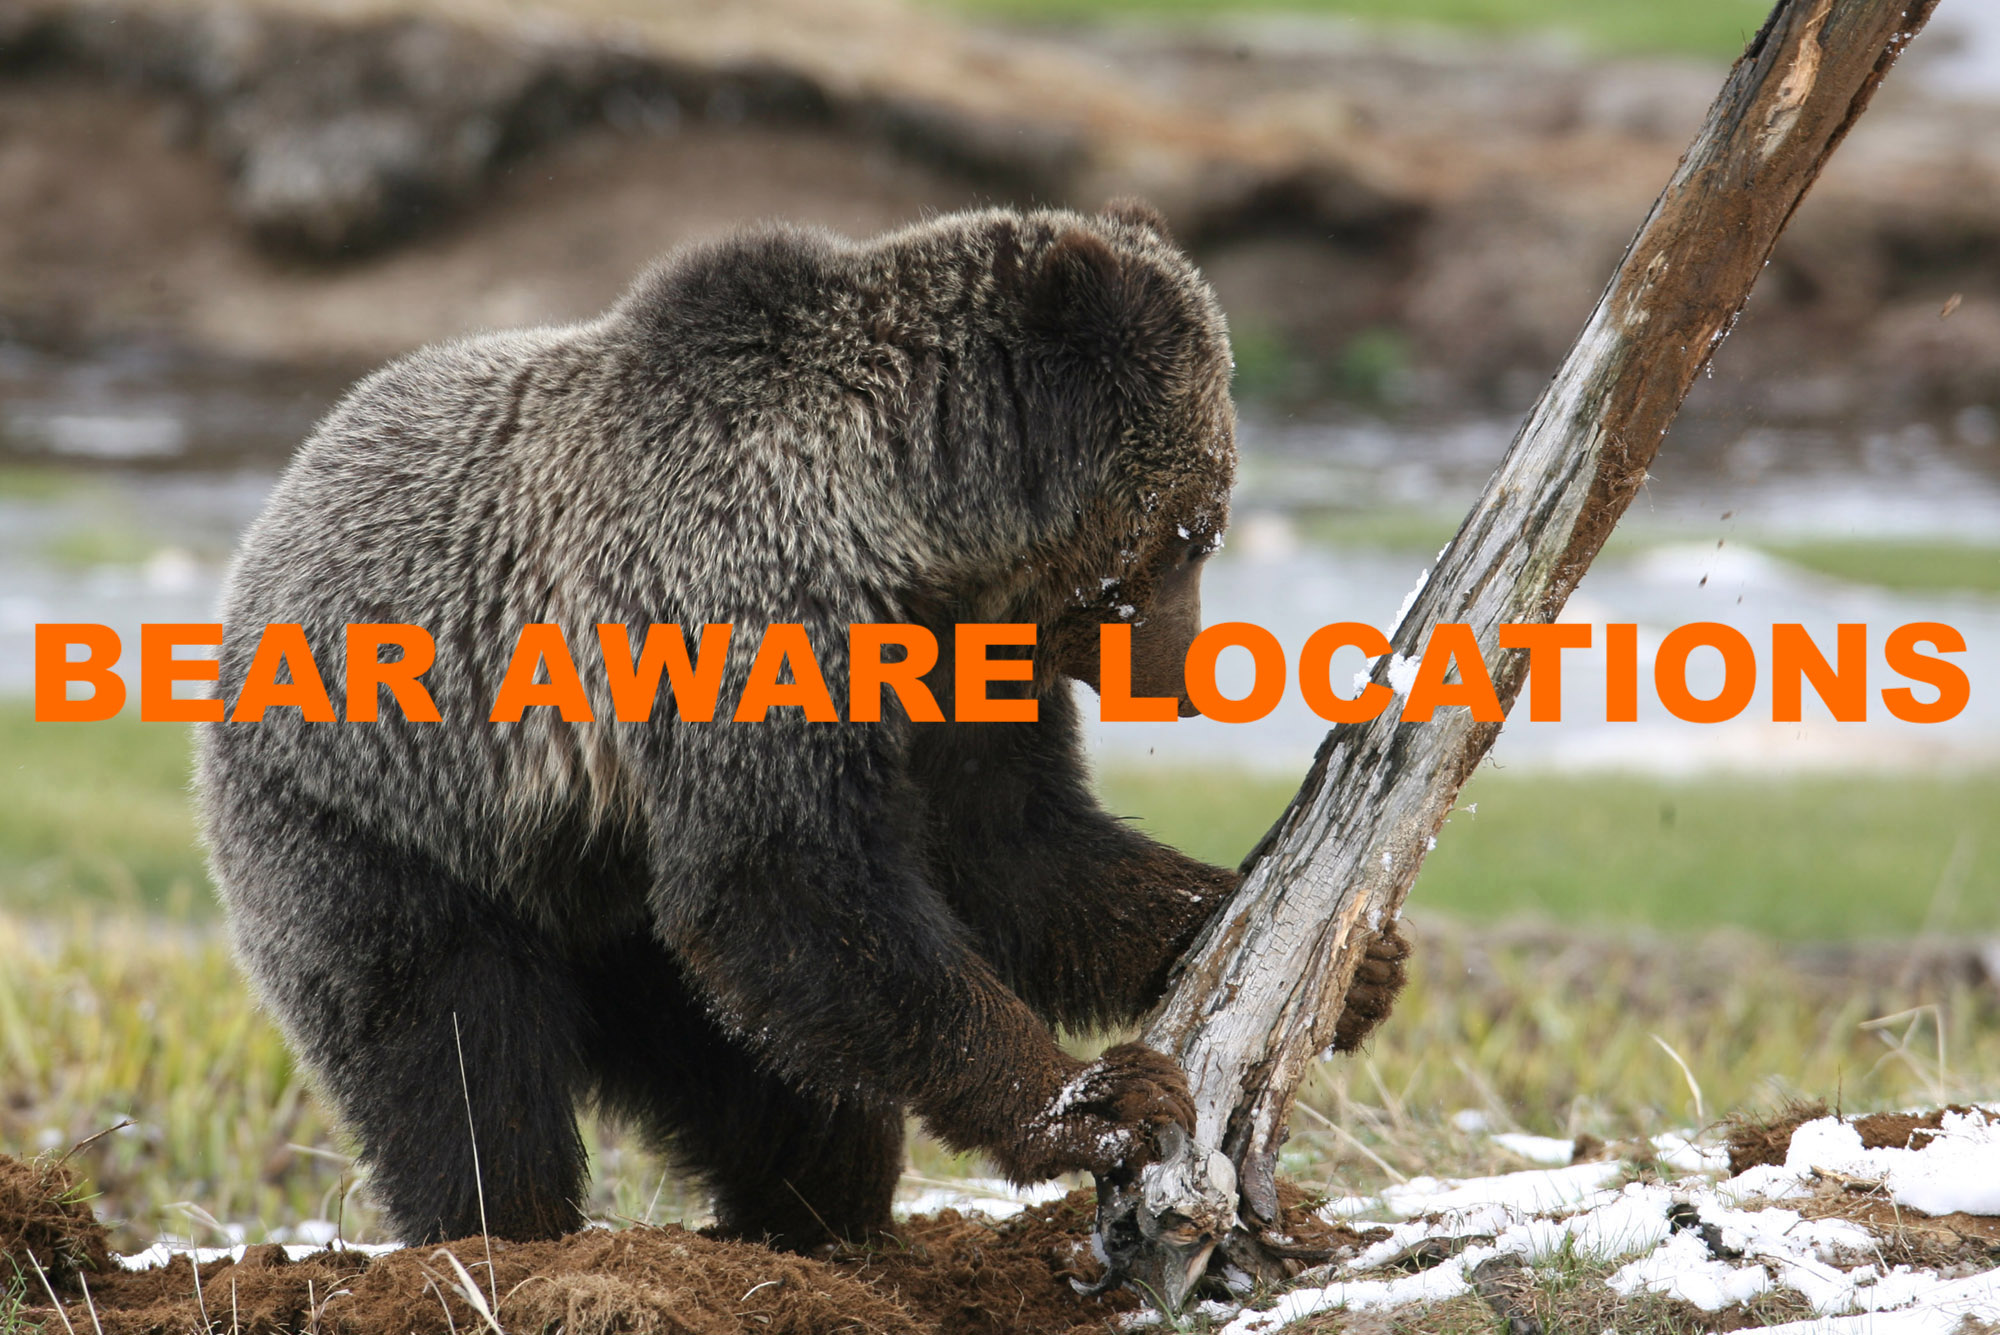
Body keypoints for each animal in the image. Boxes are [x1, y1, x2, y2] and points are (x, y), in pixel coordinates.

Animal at [195, 201, 1407, 1251]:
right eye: (1190, 532)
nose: (1186, 678)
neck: (906, 525)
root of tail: (270, 524)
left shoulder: (956, 667)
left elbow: (1008, 851)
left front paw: (1349, 961)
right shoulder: (744, 603)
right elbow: (788, 877)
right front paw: (1097, 1099)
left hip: (631, 936)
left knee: (781, 1097)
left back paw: (806, 1230)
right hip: (387, 830)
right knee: (460, 1065)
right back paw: (505, 1238)